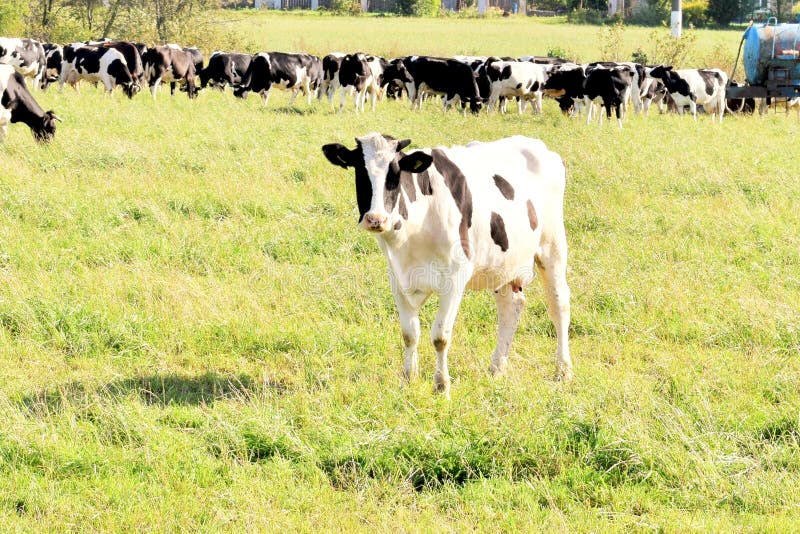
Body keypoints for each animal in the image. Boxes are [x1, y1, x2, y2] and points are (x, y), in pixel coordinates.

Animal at [321, 133, 572, 397]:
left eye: (395, 173)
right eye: (360, 170)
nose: (376, 219)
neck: (415, 230)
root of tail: (535, 143)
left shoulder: (455, 278)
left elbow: (440, 336)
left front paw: (441, 385)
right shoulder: (397, 278)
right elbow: (409, 334)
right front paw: (408, 379)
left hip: (552, 245)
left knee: (559, 304)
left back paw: (562, 370)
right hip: (503, 262)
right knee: (510, 306)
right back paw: (497, 368)